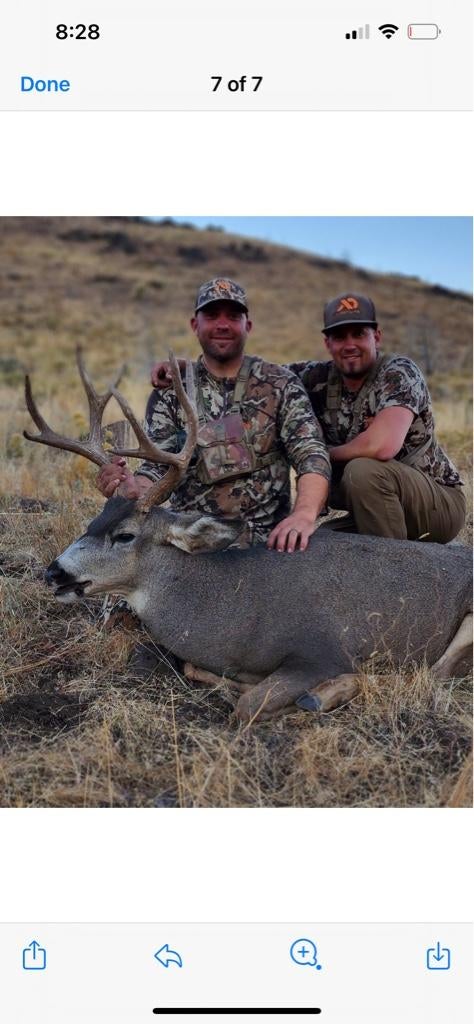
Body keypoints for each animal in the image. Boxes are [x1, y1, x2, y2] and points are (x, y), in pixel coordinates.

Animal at [23, 350, 472, 725]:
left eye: (124, 535)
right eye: (93, 520)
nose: (53, 572)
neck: (239, 608)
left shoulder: (324, 649)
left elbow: (248, 705)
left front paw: (317, 694)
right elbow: (199, 670)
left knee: (436, 675)